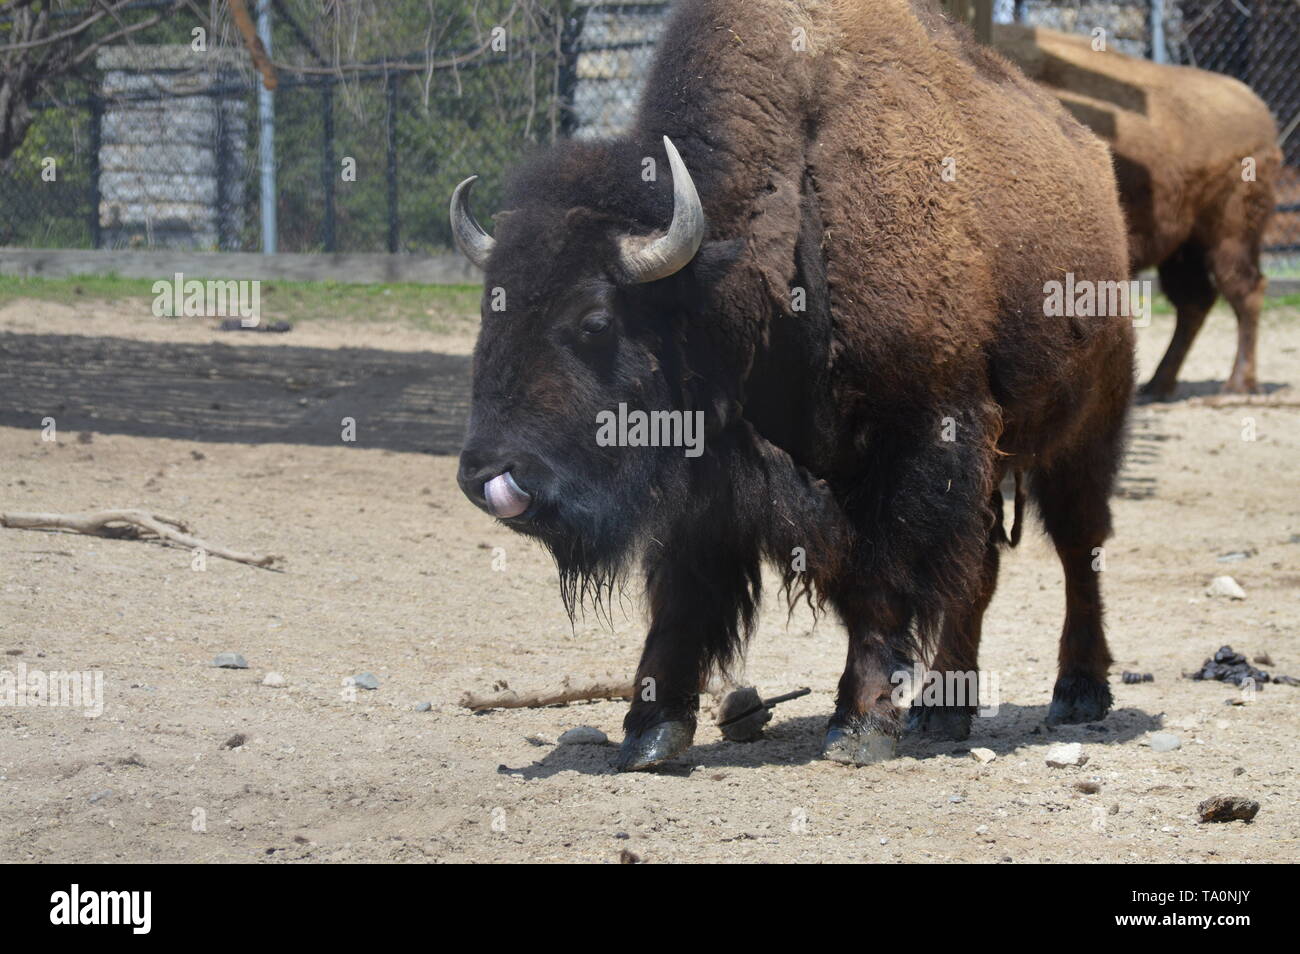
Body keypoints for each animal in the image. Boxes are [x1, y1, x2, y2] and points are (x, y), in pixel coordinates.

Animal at [452, 0, 1135, 770]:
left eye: (595, 320)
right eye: (489, 308)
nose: (486, 474)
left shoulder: (916, 440)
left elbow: (883, 581)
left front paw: (859, 725)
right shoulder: (713, 469)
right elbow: (684, 590)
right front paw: (650, 733)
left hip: (1085, 432)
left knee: (1079, 550)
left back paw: (1078, 693)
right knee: (980, 573)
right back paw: (943, 713)